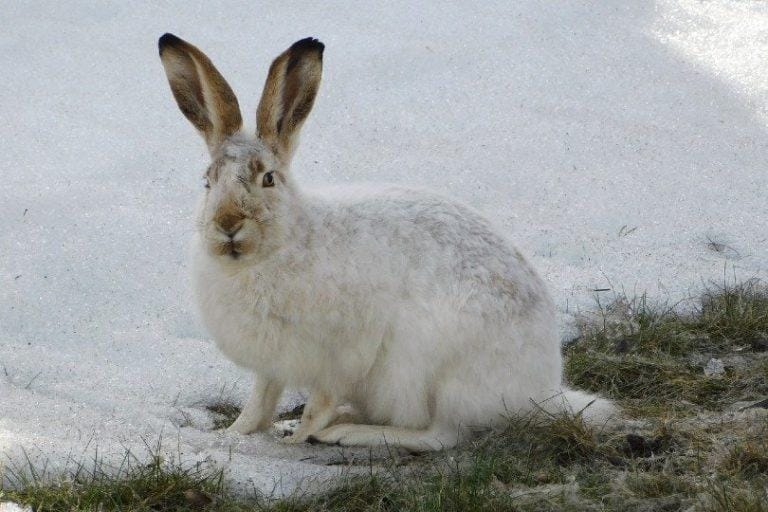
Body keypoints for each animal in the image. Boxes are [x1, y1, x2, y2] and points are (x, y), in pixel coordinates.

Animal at [158, 33, 615, 451]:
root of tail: (541, 391)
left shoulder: (338, 356)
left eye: (268, 178)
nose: (227, 224)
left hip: (430, 370)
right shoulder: (272, 365)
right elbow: (260, 401)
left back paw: (346, 432)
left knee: (440, 435)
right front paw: (234, 434)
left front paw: (300, 435)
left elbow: (317, 402)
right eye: (207, 182)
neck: (280, 244)